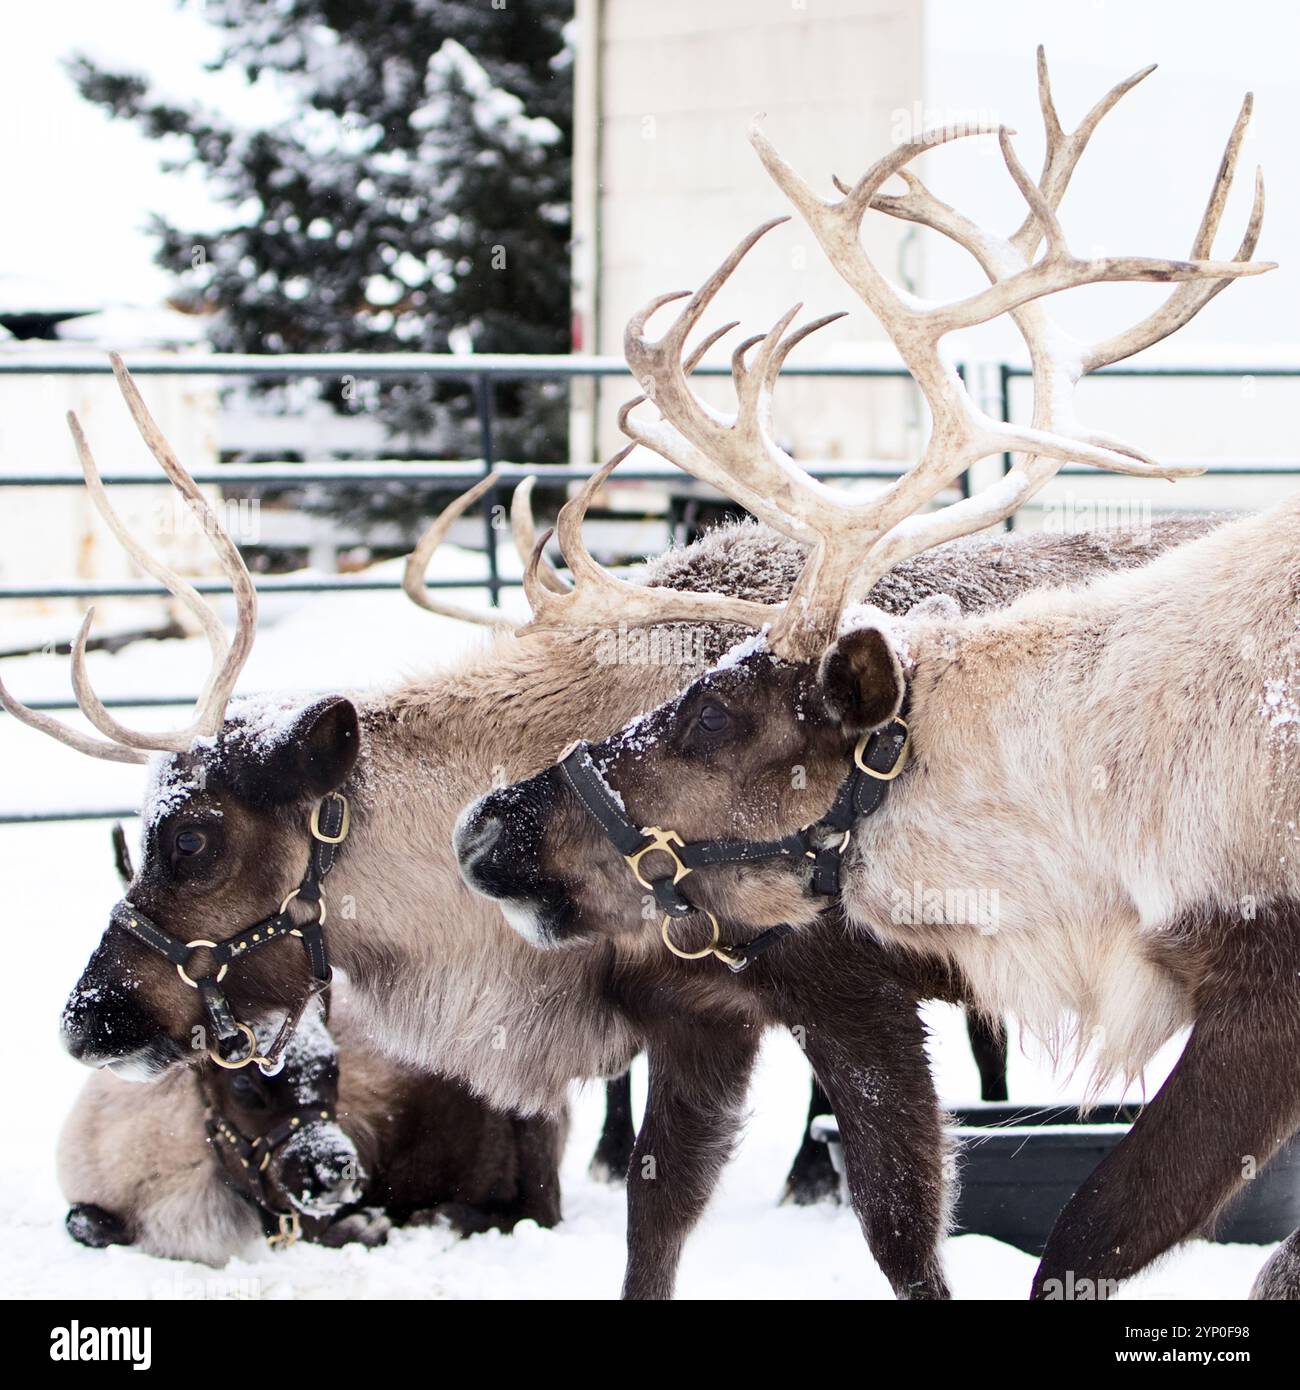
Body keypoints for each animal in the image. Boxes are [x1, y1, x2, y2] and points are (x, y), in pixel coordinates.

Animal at [3, 348, 1221, 1294]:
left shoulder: (849, 995)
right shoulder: (697, 1022)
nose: (85, 1018)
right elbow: (653, 1222)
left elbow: (899, 1231)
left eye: (194, 839)